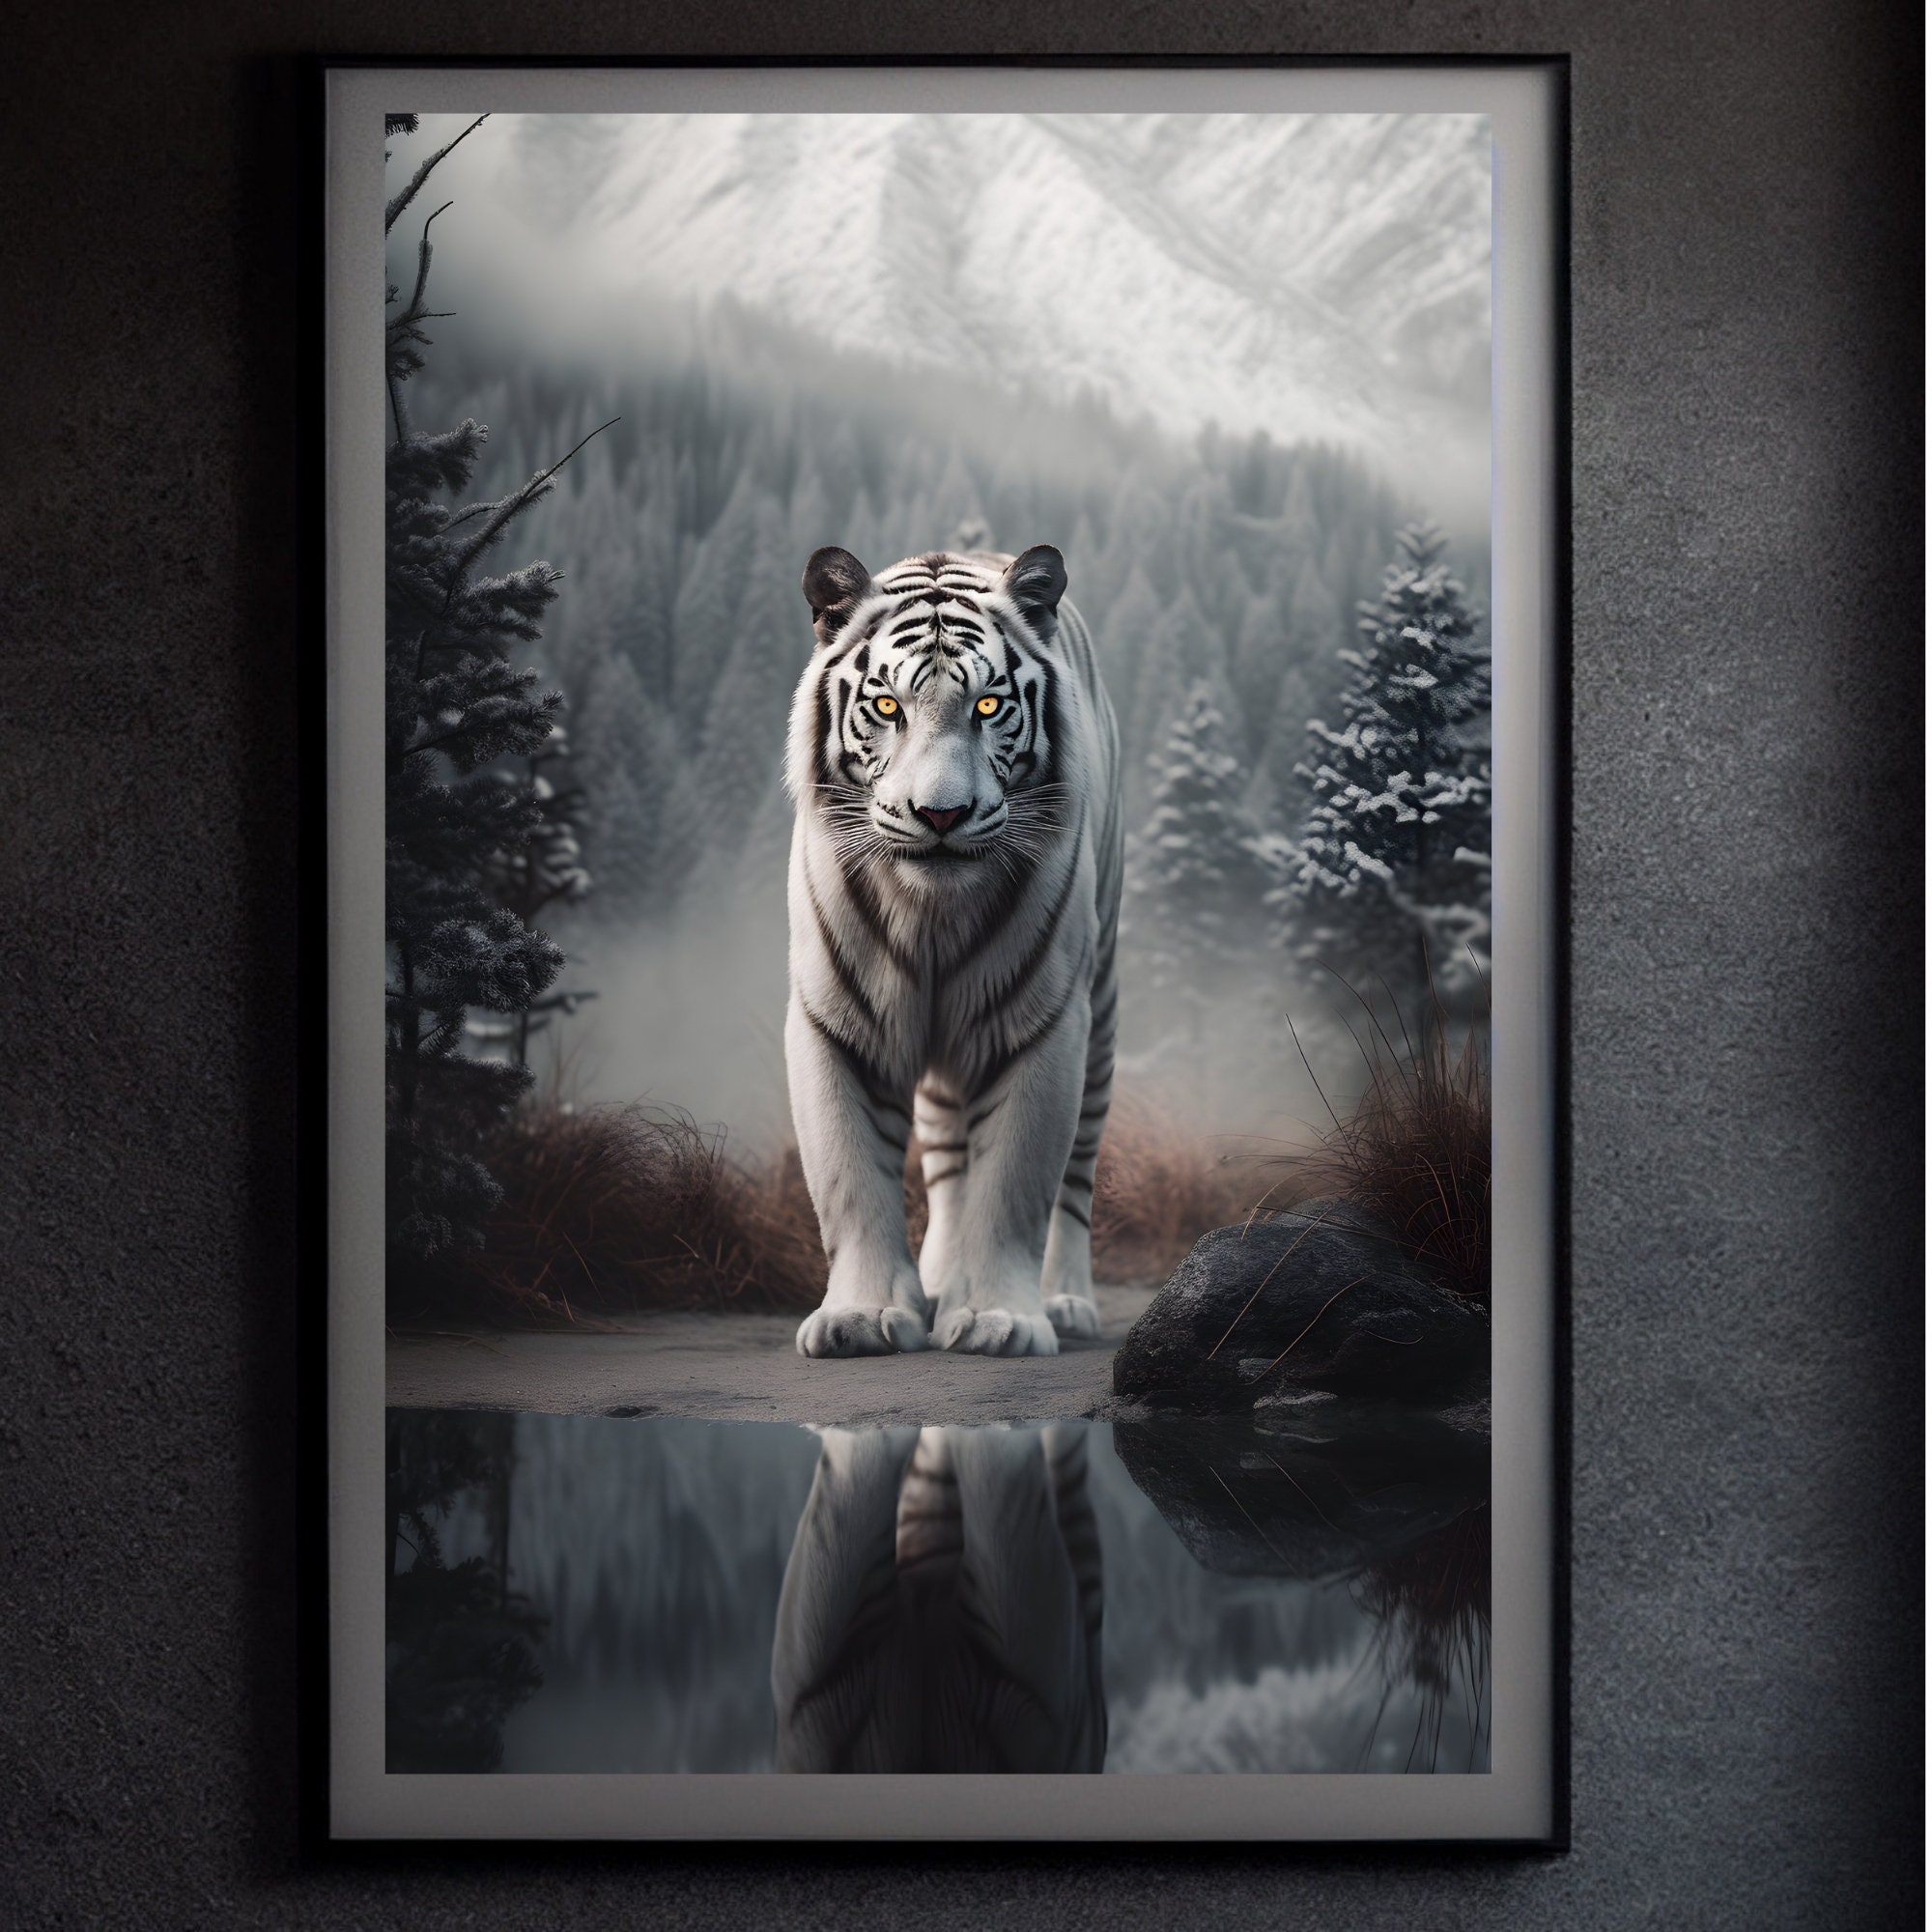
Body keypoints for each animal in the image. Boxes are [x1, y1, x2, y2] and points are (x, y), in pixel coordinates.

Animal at [783, 542, 1122, 1358]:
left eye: (989, 707)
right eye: (886, 708)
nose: (940, 814)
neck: (931, 915)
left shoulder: (1043, 1025)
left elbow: (1014, 1184)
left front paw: (1002, 1319)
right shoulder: (834, 1022)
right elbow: (849, 1178)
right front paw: (863, 1315)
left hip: (1100, 1017)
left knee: (1074, 1177)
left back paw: (1064, 1302)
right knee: (945, 1165)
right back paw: (939, 1284)